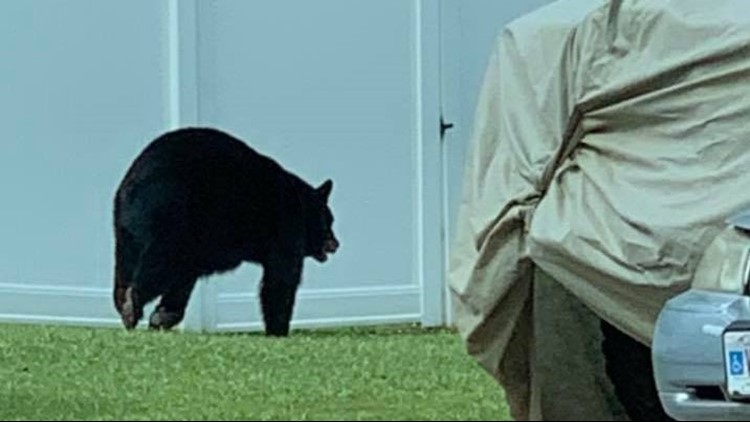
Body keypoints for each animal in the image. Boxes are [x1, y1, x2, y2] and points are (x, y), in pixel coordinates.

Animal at [112, 127, 339, 336]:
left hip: (127, 231)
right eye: (328, 221)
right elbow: (281, 277)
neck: (300, 203)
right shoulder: (286, 225)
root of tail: (134, 185)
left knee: (127, 263)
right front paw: (278, 331)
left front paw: (163, 316)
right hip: (173, 215)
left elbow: (185, 279)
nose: (335, 243)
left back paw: (123, 300)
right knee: (161, 260)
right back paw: (131, 303)